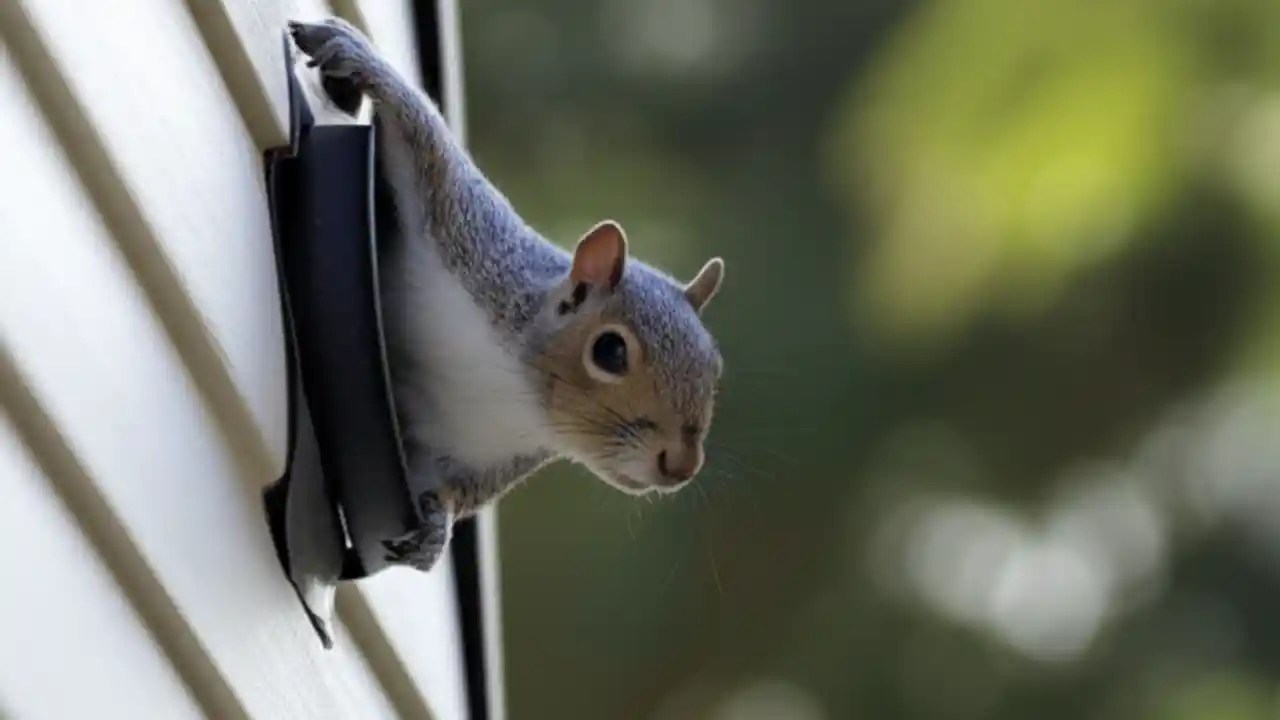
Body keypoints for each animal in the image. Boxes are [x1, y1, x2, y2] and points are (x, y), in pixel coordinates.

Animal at [288, 19, 725, 573]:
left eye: (714, 367)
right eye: (610, 351)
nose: (681, 465)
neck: (514, 388)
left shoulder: (480, 455)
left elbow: (451, 491)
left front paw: (436, 529)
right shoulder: (467, 236)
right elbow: (425, 138)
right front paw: (356, 53)